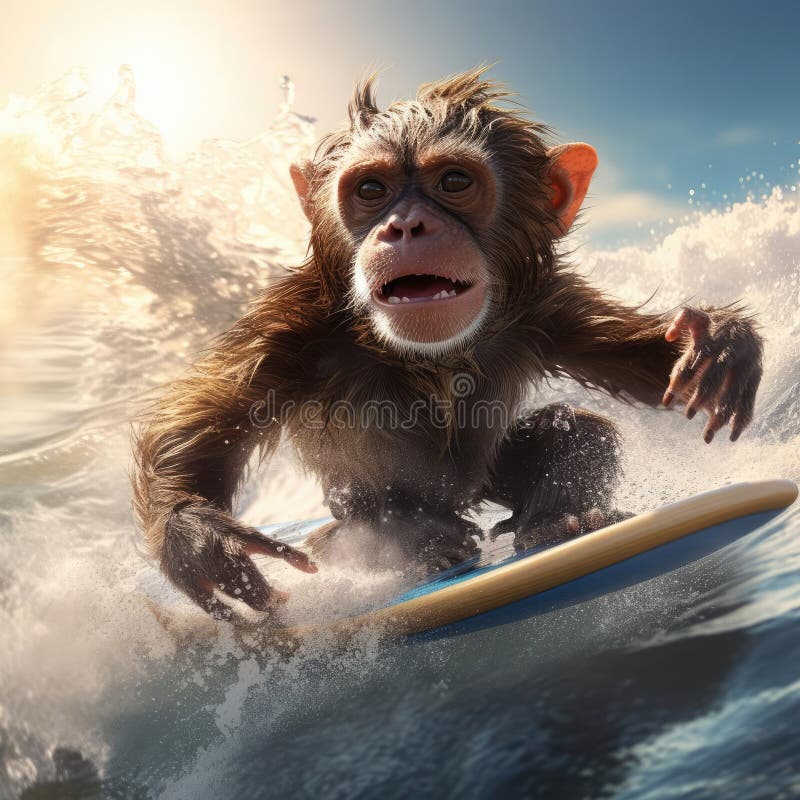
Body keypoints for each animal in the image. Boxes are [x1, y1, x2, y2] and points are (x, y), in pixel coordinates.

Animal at [132, 69, 763, 620]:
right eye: (371, 189)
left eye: (454, 182)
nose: (406, 225)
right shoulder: (293, 325)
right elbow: (213, 421)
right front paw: (199, 538)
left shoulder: (543, 303)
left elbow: (630, 361)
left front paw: (717, 343)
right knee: (365, 524)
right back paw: (421, 546)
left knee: (576, 431)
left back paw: (556, 524)